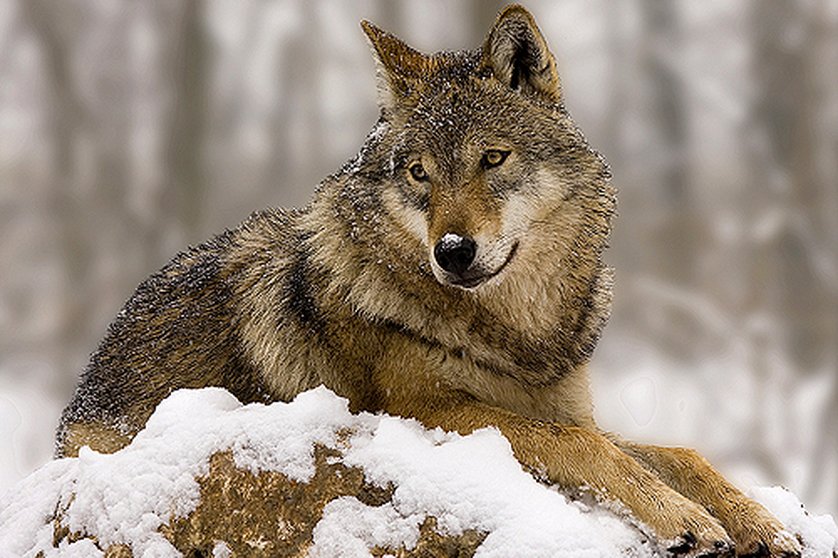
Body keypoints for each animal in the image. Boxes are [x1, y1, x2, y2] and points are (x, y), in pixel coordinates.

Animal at [57, 5, 801, 556]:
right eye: (418, 172)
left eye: (492, 159)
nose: (453, 252)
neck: (516, 332)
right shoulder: (431, 412)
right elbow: (586, 447)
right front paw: (687, 521)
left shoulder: (556, 404)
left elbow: (679, 451)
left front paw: (759, 522)